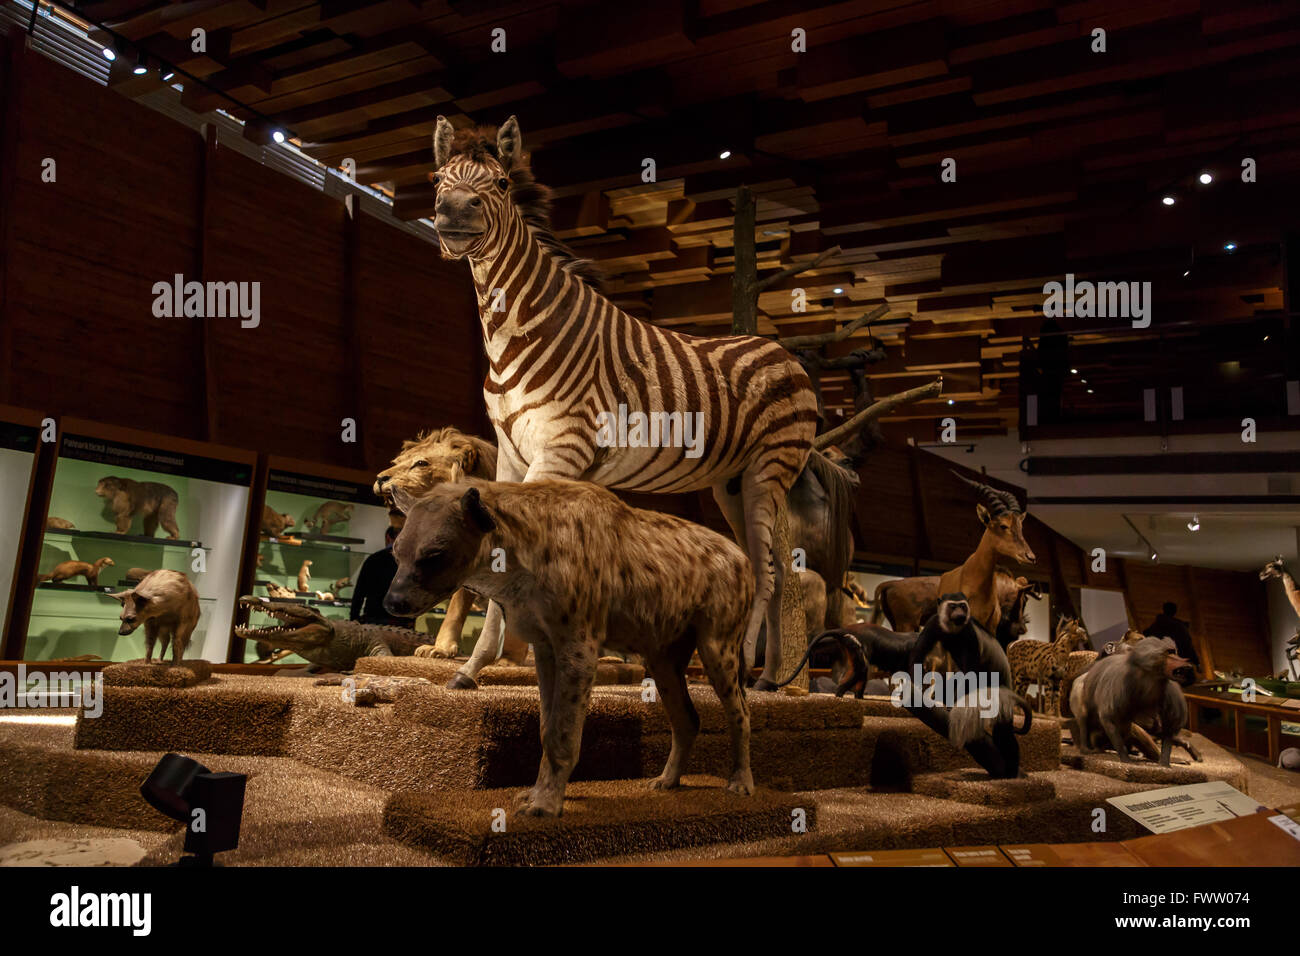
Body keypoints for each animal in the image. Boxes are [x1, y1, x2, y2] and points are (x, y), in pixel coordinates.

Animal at [426, 114, 825, 691]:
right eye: (438, 178)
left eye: (500, 183)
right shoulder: (512, 455)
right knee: (764, 567)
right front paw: (475, 668)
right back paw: (761, 676)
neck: (516, 331)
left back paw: (749, 674)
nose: (454, 211)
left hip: (768, 470)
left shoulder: (560, 450)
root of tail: (782, 350)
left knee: (769, 575)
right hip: (732, 482)